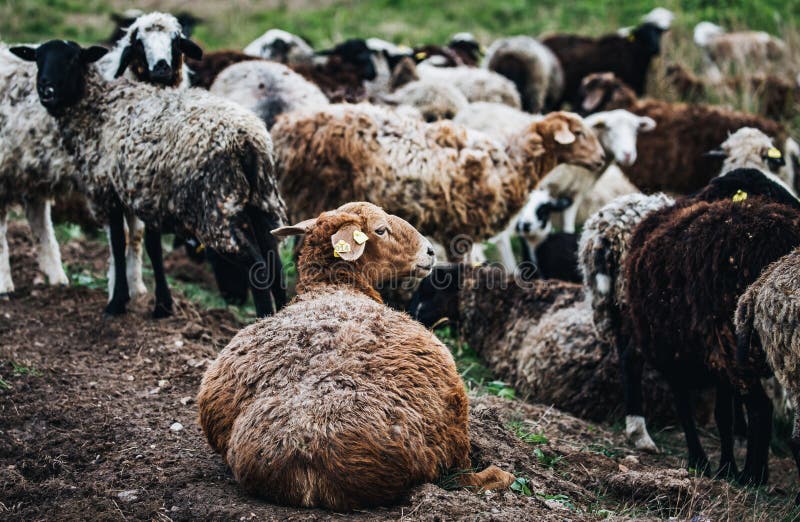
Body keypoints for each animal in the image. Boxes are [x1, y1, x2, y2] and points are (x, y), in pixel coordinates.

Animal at [13, 40, 287, 319]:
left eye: (72, 59)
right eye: (38, 58)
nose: (46, 89)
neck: (97, 108)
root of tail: (247, 140)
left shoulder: (107, 190)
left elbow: (118, 243)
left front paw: (117, 303)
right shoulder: (147, 193)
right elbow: (151, 247)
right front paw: (161, 305)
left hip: (216, 207)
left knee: (257, 265)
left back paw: (262, 317)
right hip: (260, 200)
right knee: (275, 265)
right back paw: (282, 312)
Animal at [197, 202, 514, 511]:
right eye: (381, 229)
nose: (430, 251)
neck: (333, 287)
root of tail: (302, 453)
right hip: (447, 429)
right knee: (459, 476)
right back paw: (500, 475)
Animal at [271, 106, 604, 261]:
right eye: (579, 134)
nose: (601, 159)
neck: (510, 164)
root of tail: (285, 129)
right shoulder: (462, 230)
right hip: (316, 197)